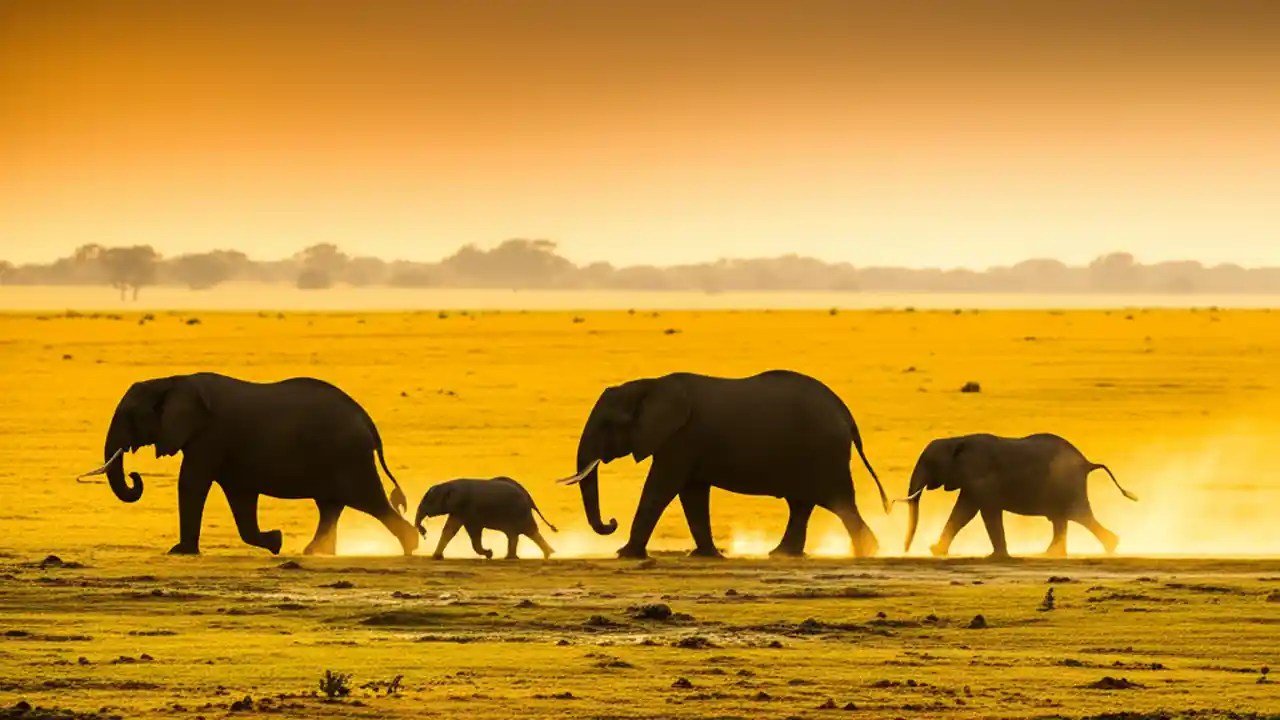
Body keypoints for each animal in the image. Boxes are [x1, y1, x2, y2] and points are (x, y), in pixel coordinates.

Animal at [76, 373, 419, 556]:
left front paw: (180, 551)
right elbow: (240, 495)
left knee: (368, 500)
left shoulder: (209, 436)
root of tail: (366, 418)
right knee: (331, 505)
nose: (135, 476)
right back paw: (315, 552)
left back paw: (411, 545)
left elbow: (192, 483)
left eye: (131, 416)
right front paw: (275, 541)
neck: (172, 380)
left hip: (348, 455)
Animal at [414, 477, 557, 560]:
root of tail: (528, 497)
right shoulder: (459, 510)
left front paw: (489, 554)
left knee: (529, 532)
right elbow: (450, 529)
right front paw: (436, 557)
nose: (423, 532)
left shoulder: (465, 507)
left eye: (428, 501)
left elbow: (473, 532)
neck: (448, 485)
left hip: (519, 512)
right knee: (516, 534)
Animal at [560, 370, 889, 559]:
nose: (611, 522)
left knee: (839, 502)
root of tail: (845, 413)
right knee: (804, 504)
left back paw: (867, 551)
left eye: (607, 424)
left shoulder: (681, 438)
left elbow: (661, 488)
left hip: (824, 452)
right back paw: (783, 554)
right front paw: (705, 555)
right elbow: (691, 494)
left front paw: (625, 554)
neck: (648, 385)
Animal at [899, 433, 1138, 559]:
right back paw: (1050, 555)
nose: (906, 550)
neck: (956, 440)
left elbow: (978, 512)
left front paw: (995, 557)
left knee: (1078, 516)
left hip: (1067, 484)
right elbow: (967, 511)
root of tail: (1086, 463)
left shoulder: (981, 476)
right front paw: (936, 551)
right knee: (1062, 519)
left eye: (930, 463)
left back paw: (1111, 546)